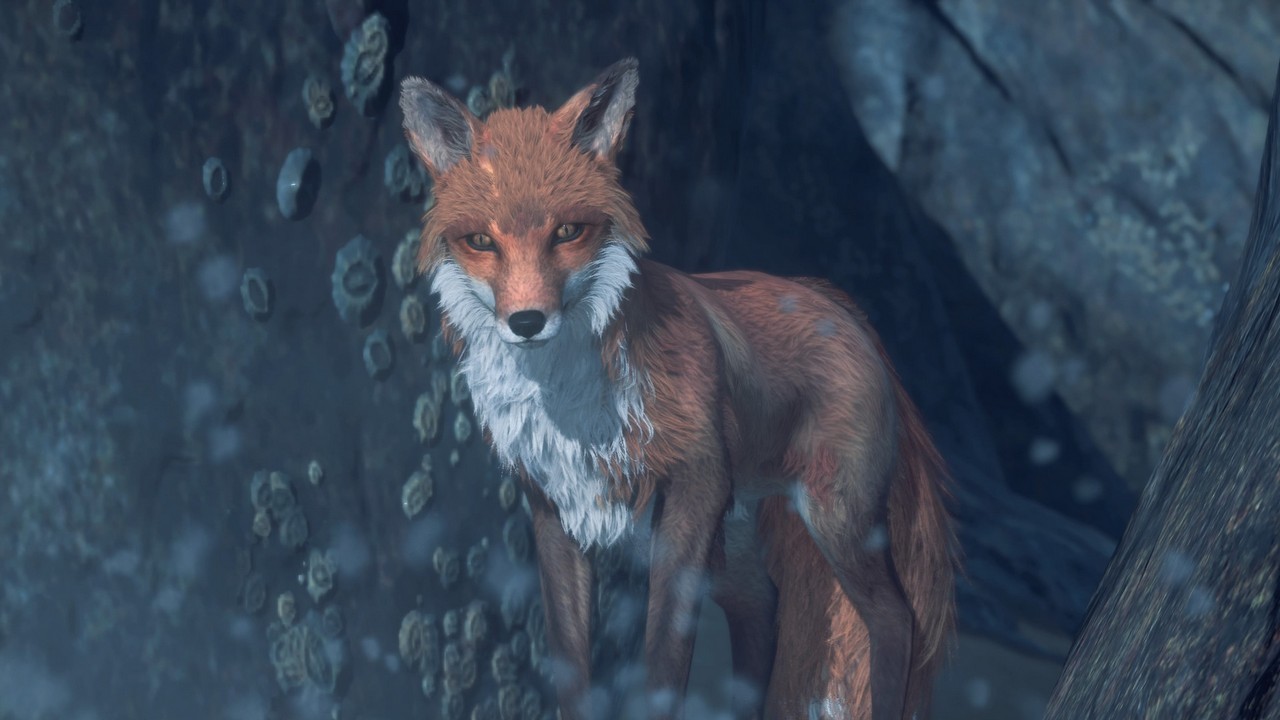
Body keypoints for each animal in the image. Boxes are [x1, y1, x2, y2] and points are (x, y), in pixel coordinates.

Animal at [398, 58, 958, 720]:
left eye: (568, 232)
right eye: (481, 241)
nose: (527, 322)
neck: (571, 404)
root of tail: (847, 310)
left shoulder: (695, 484)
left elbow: (664, 660)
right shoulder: (552, 507)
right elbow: (571, 666)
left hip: (835, 517)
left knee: (896, 619)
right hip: (740, 544)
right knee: (762, 613)